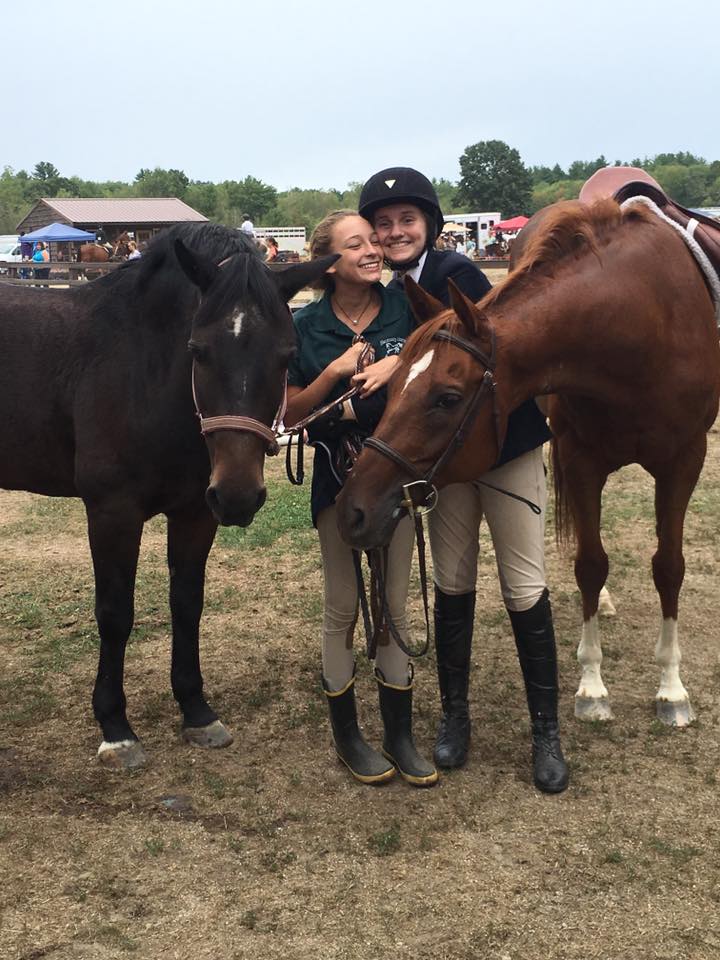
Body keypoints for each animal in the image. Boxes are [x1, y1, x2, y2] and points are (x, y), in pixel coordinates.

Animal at [0, 221, 334, 769]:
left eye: (287, 355)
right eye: (197, 350)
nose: (239, 497)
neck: (143, 370)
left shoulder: (196, 512)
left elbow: (187, 603)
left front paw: (196, 710)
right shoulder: (112, 513)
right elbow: (115, 614)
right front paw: (116, 728)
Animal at [336, 197, 720, 728]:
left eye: (446, 398)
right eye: (391, 387)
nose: (352, 510)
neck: (640, 322)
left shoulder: (684, 463)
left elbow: (669, 566)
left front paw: (671, 688)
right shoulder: (580, 460)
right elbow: (590, 564)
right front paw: (592, 685)